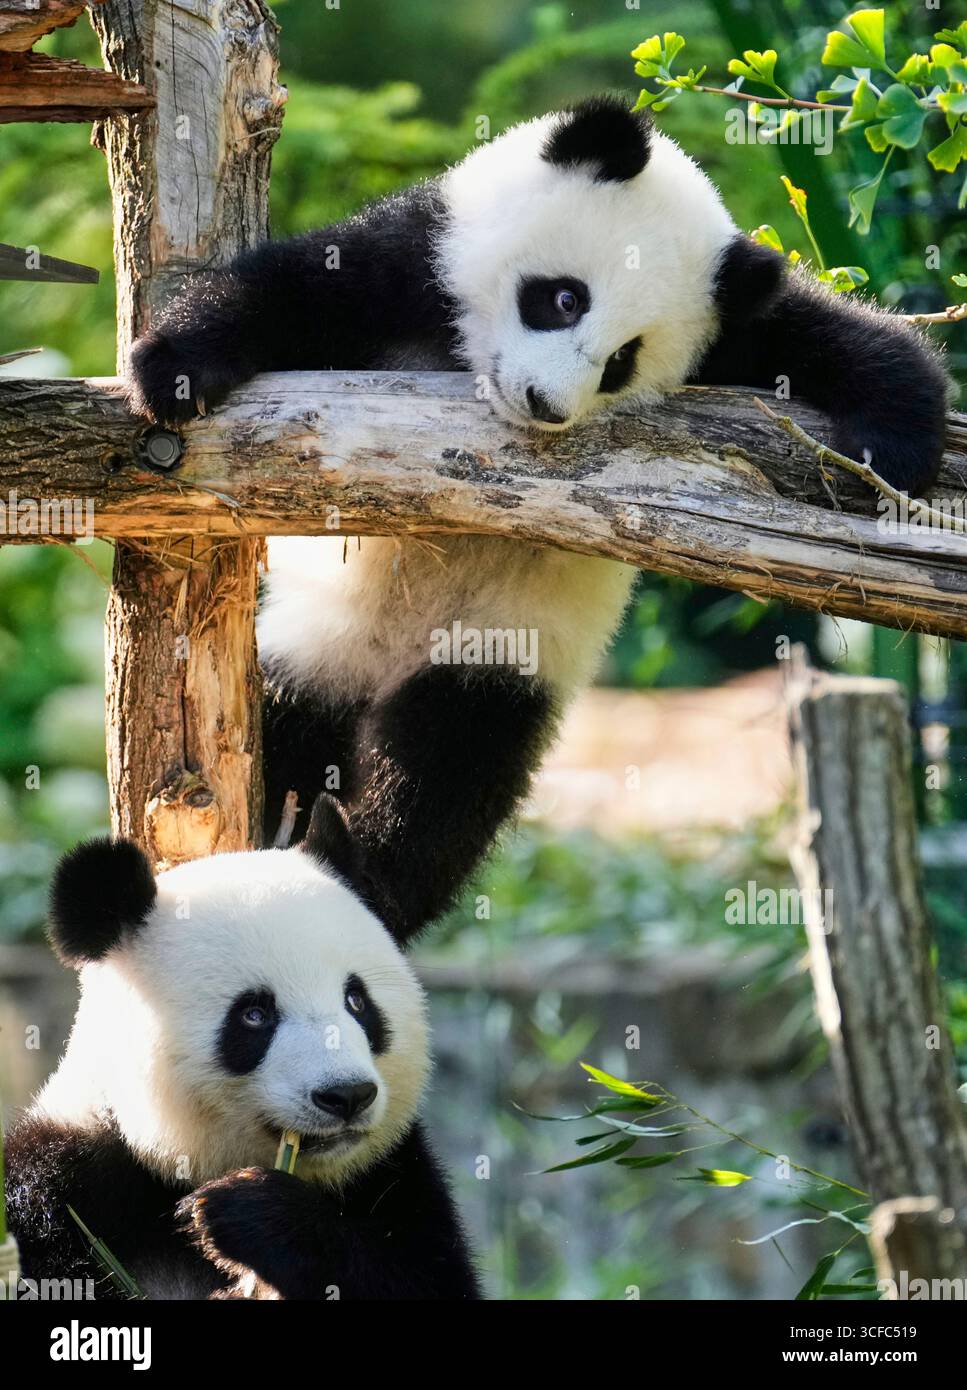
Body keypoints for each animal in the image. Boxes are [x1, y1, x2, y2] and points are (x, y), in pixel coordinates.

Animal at [5, 795, 480, 1301]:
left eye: (357, 1001)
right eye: (254, 1014)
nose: (347, 1095)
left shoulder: (395, 1176)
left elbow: (425, 1277)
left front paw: (253, 1212)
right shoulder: (58, 1186)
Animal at [128, 95, 951, 939]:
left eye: (622, 360)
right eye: (563, 299)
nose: (544, 404)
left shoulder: (734, 336)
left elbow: (839, 338)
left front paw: (888, 451)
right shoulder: (412, 264)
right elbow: (290, 292)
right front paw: (174, 371)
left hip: (495, 655)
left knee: (444, 771)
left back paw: (366, 873)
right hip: (316, 643)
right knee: (288, 713)